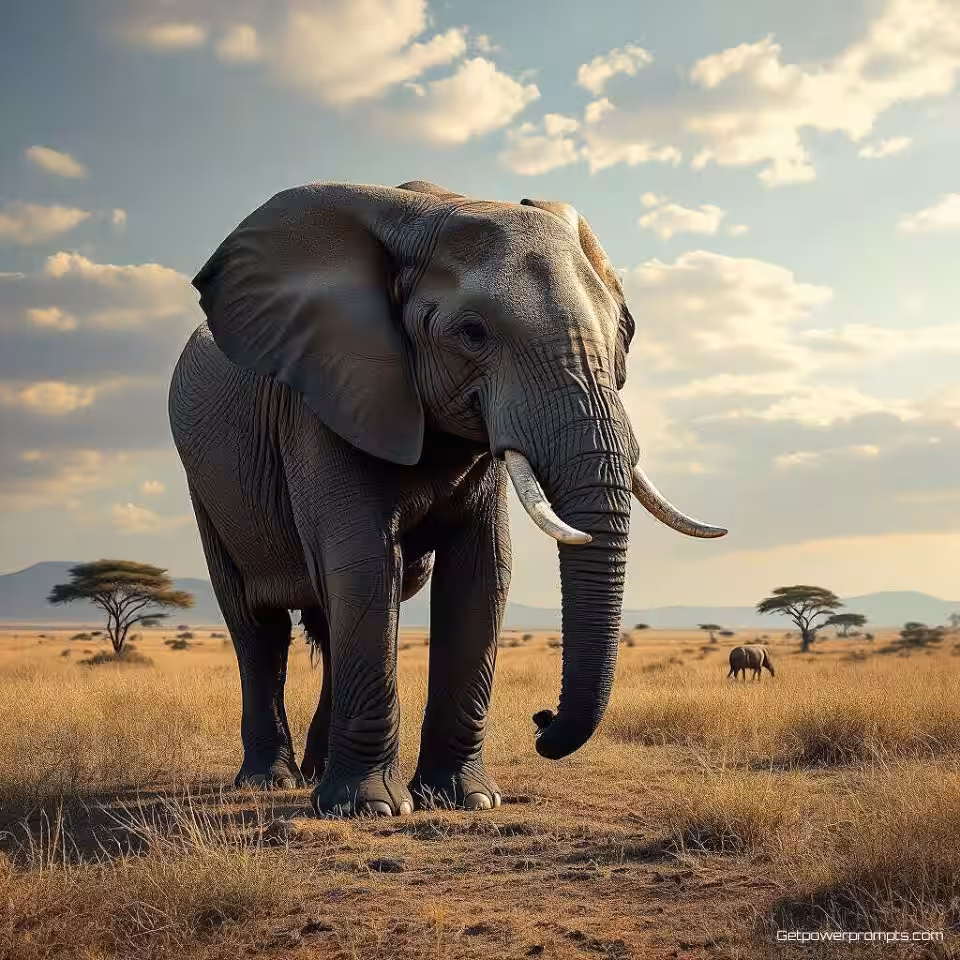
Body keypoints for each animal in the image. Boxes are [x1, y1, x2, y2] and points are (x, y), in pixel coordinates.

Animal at [168, 179, 728, 818]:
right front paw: (372, 809)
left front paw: (467, 800)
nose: (542, 720)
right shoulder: (327, 397)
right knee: (257, 625)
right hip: (205, 486)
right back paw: (273, 782)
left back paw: (315, 774)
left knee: (329, 622)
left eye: (625, 333)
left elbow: (482, 572)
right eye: (472, 333)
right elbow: (364, 563)